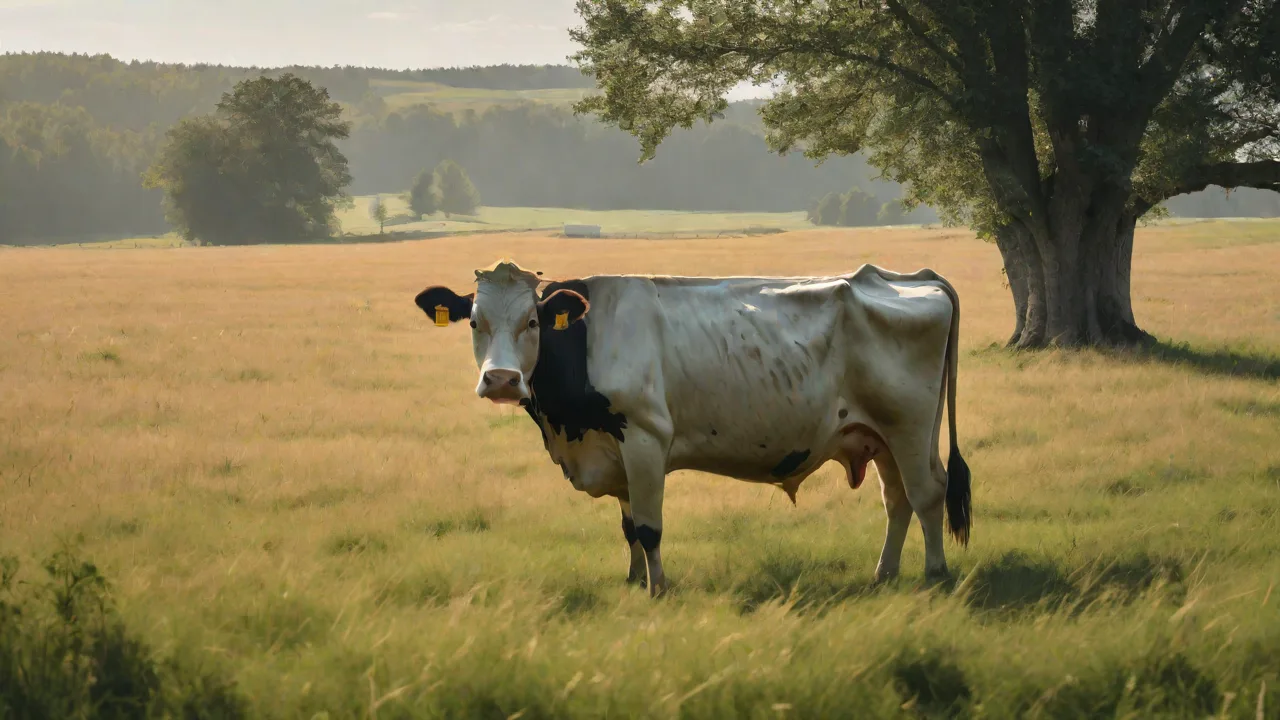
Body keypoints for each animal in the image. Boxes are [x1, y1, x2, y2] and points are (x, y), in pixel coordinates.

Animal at [414, 259, 972, 597]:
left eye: (532, 322)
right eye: (473, 323)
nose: (502, 380)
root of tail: (907, 275)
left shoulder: (644, 436)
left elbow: (648, 526)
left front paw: (657, 588)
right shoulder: (614, 450)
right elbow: (627, 527)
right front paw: (632, 580)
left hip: (910, 427)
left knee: (927, 494)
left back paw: (935, 573)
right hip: (877, 434)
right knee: (897, 500)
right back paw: (884, 574)